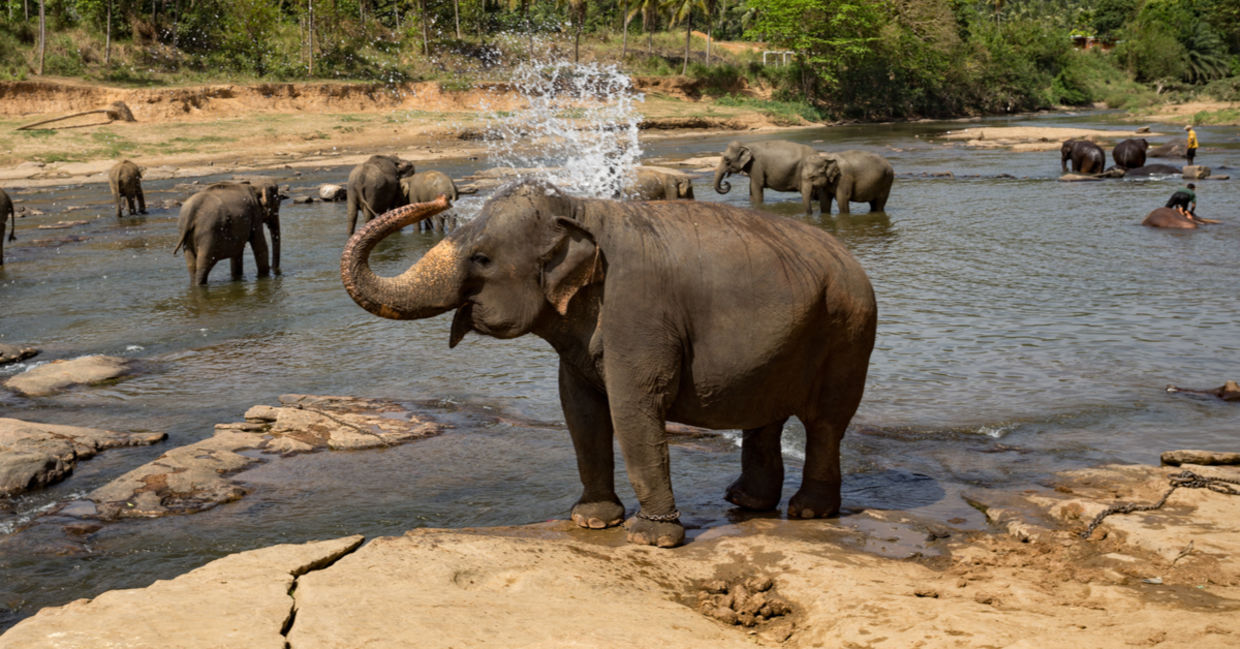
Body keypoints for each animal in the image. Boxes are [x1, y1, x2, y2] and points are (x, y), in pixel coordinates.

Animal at [340, 180, 877, 548]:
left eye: (482, 258)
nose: (440, 200)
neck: (579, 210)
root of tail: (850, 257)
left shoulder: (639, 312)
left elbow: (633, 408)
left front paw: (650, 538)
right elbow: (579, 410)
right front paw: (593, 520)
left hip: (848, 331)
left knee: (826, 421)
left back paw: (808, 513)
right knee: (765, 416)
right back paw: (746, 502)